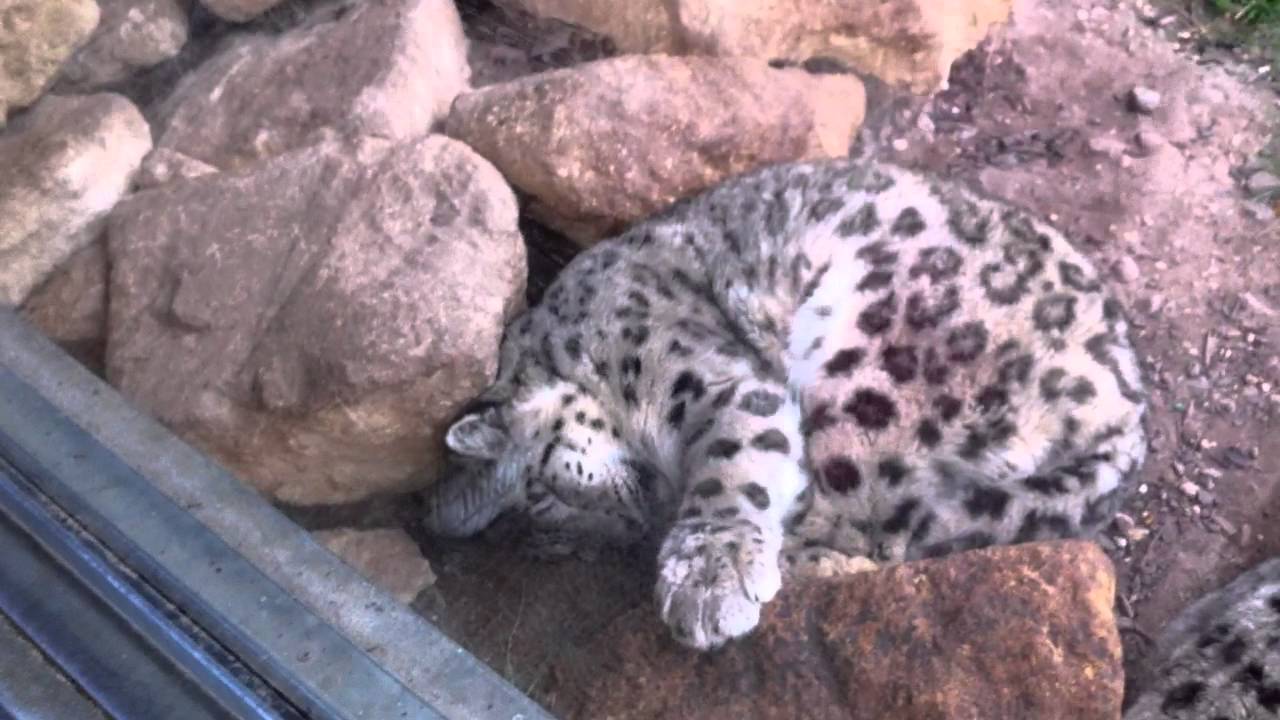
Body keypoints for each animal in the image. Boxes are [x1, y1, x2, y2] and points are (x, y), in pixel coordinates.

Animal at [422, 157, 1149, 651]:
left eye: (551, 491)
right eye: (570, 539)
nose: (643, 522)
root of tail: (1129, 406)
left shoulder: (704, 374)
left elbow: (736, 461)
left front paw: (709, 580)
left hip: (864, 377)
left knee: (866, 526)